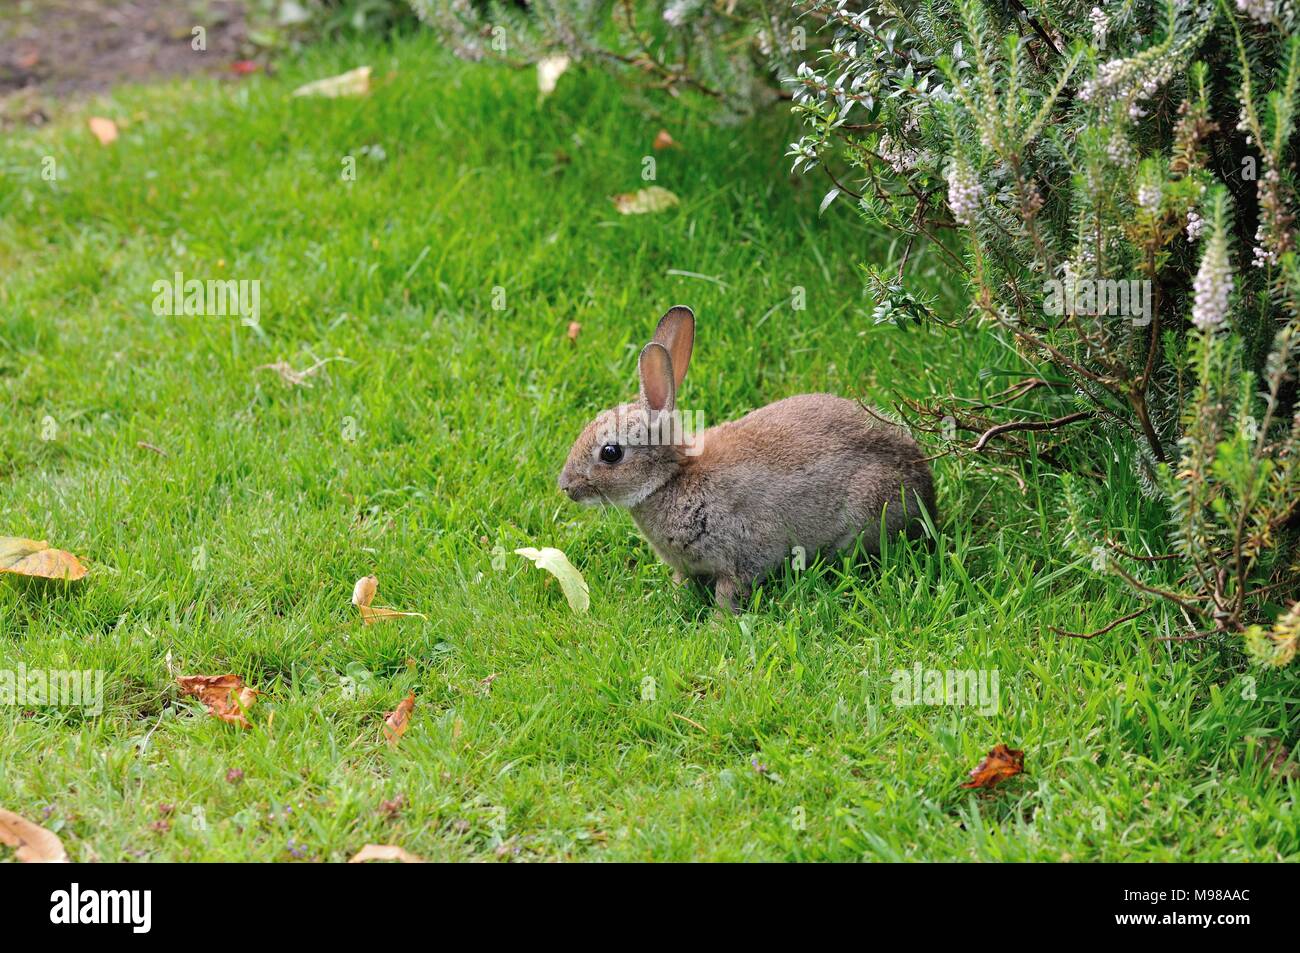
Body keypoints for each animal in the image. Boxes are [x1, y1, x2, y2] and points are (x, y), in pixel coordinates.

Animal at [557, 306, 935, 612]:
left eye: (611, 453)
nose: (566, 487)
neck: (672, 478)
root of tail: (927, 491)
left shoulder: (744, 552)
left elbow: (730, 590)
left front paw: (718, 625)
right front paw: (672, 598)